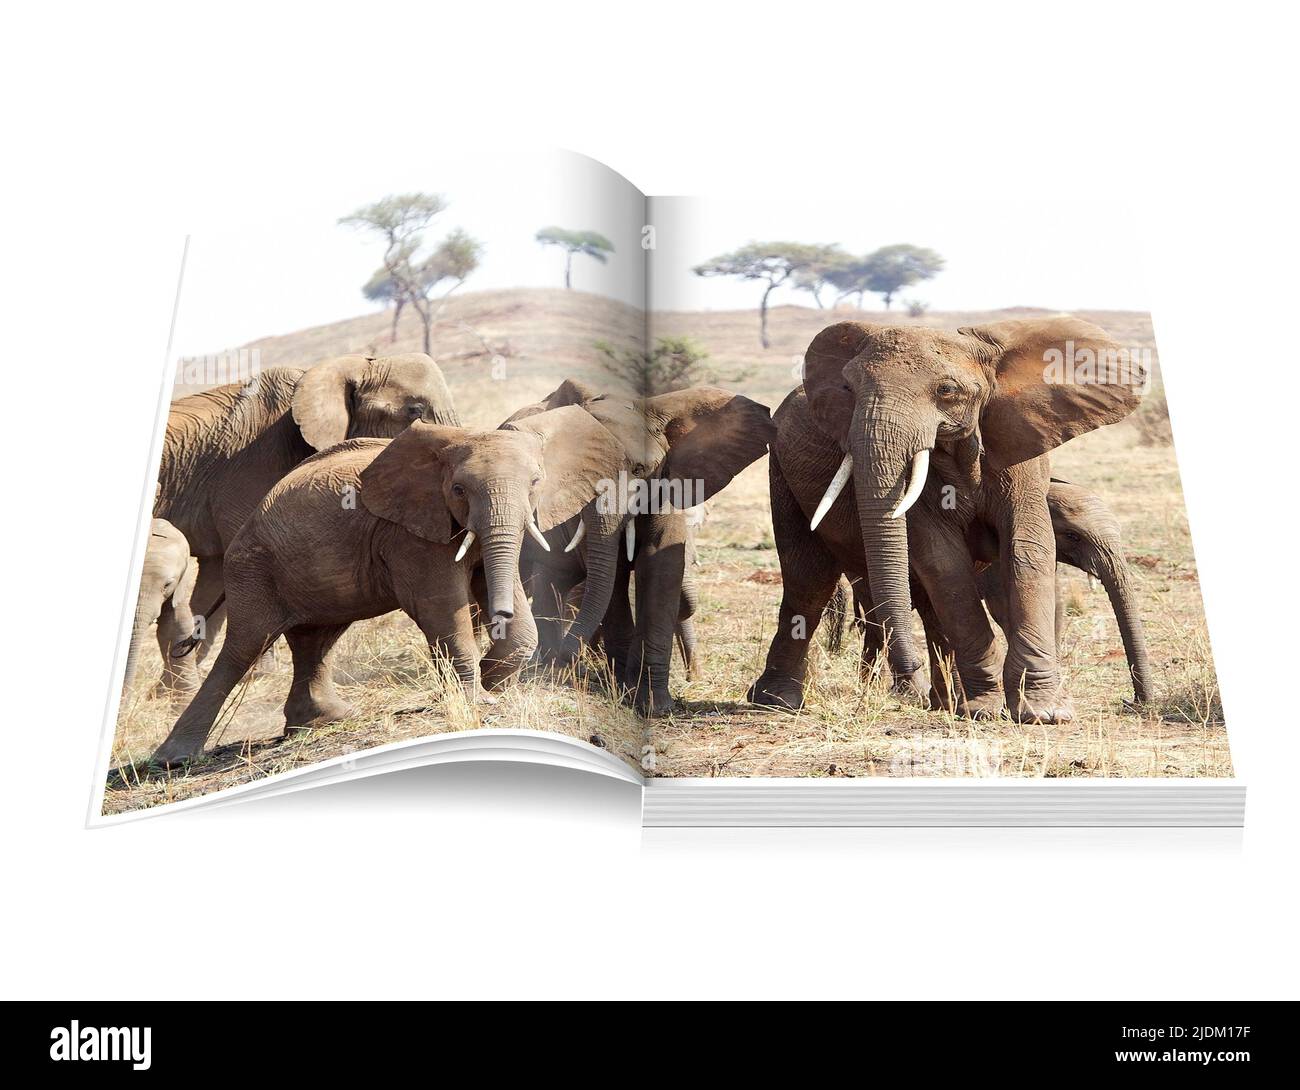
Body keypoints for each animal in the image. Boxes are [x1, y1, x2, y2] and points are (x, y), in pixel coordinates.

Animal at [150, 406, 626, 765]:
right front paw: (480, 697)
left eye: (536, 483)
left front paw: (491, 680)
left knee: (315, 639)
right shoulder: (408, 533)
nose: (500, 616)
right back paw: (175, 759)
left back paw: (328, 720)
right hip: (252, 568)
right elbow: (440, 604)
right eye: (457, 489)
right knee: (245, 646)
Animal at [505, 379, 773, 716]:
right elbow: (614, 577)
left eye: (640, 469)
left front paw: (654, 705)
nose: (566, 658)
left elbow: (661, 567)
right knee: (552, 580)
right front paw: (624, 689)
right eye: (586, 472)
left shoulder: (667, 482)